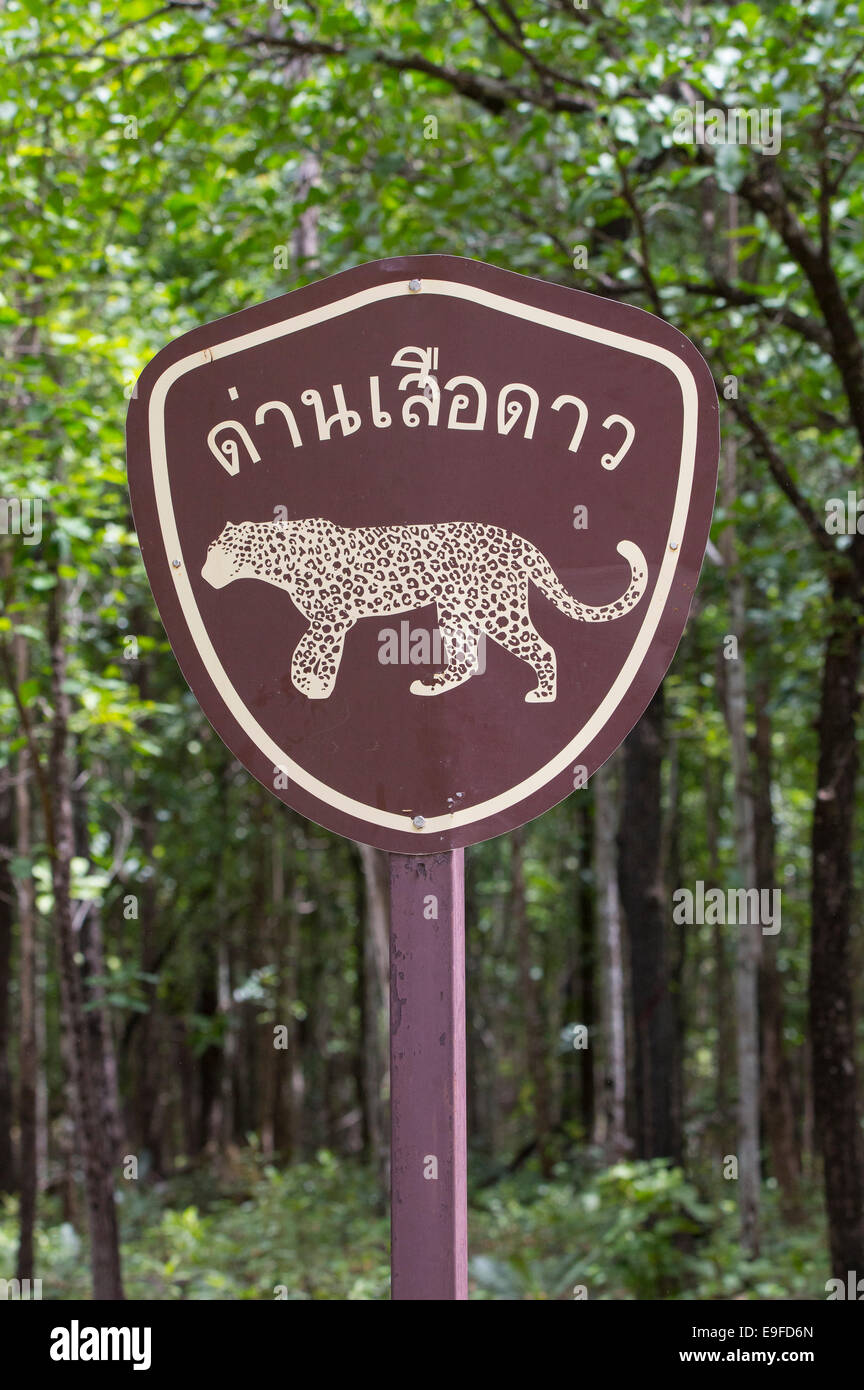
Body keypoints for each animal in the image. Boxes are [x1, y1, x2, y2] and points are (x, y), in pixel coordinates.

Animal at [201, 517, 648, 702]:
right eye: (209, 550)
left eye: (228, 553)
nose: (203, 573)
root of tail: (516, 539)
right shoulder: (330, 622)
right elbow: (313, 654)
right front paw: (314, 684)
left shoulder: (332, 619)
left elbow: (310, 654)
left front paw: (313, 685)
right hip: (453, 610)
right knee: (465, 659)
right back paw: (432, 686)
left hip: (497, 608)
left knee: (543, 649)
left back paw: (542, 695)